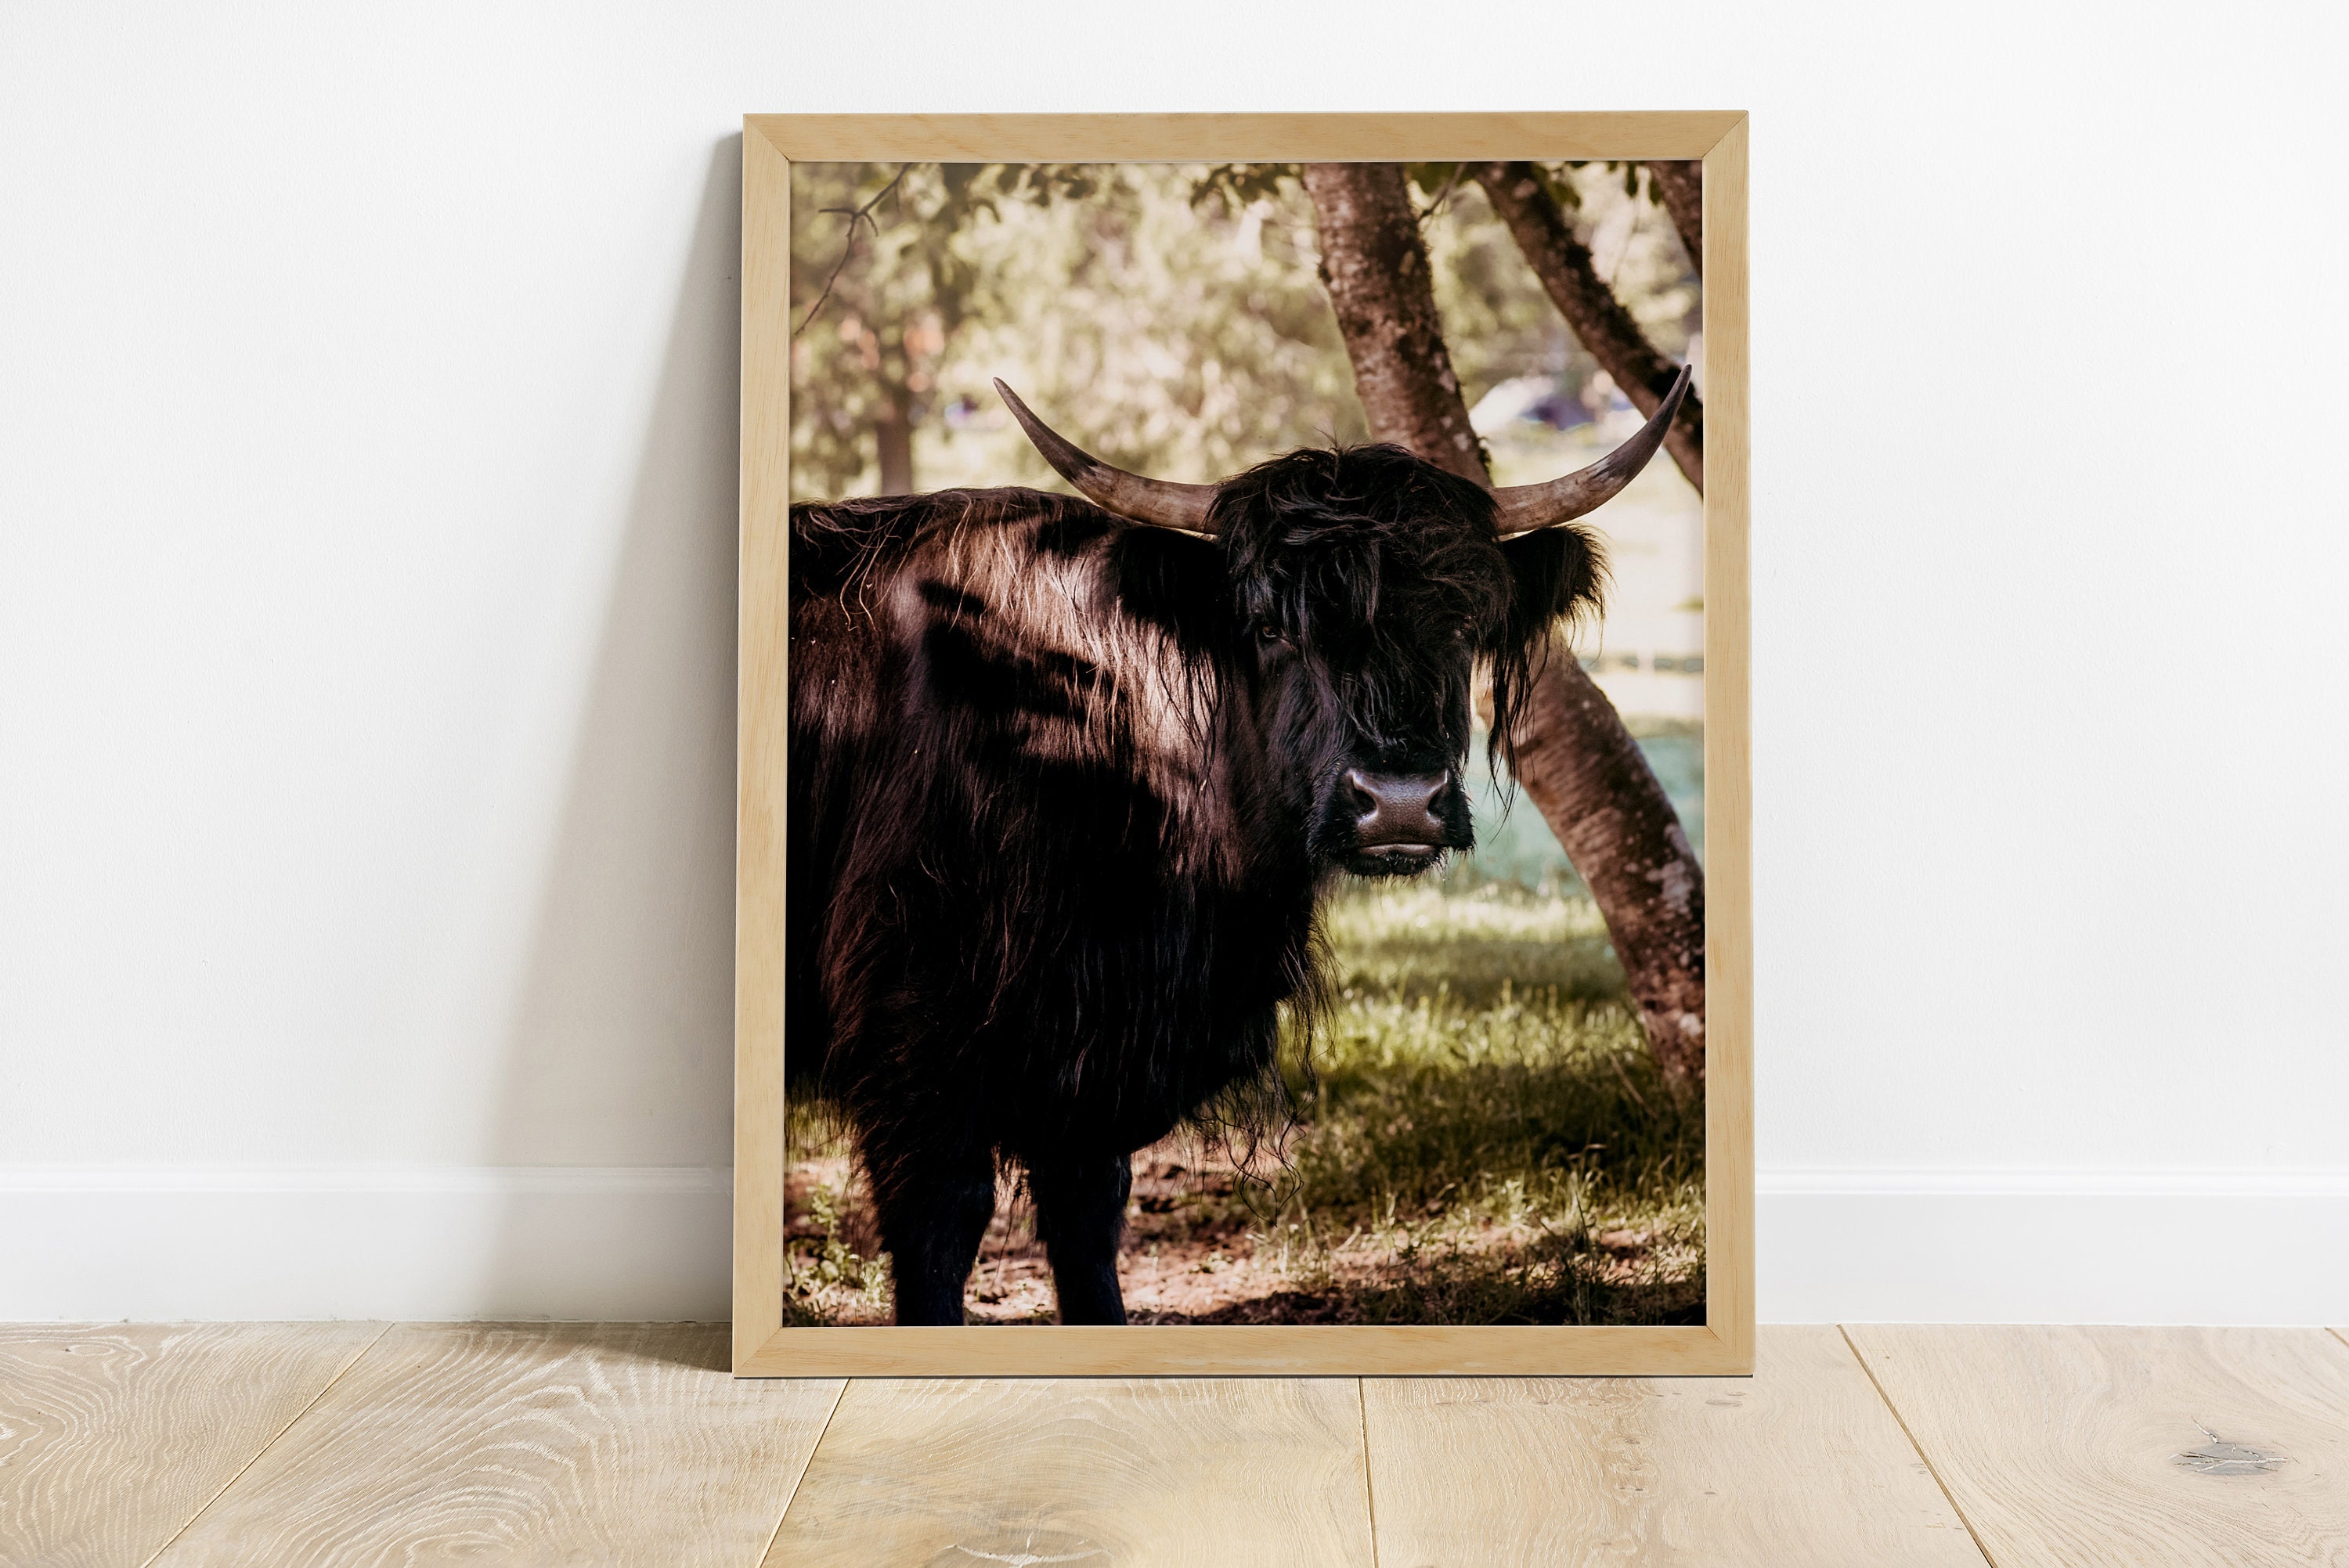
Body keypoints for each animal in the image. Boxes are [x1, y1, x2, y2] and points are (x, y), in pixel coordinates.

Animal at [787, 368, 1692, 1325]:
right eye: (1270, 626)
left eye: (1461, 623)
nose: (1399, 805)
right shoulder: (913, 1050)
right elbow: (939, 1236)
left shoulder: (1090, 1085)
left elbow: (1089, 1227)